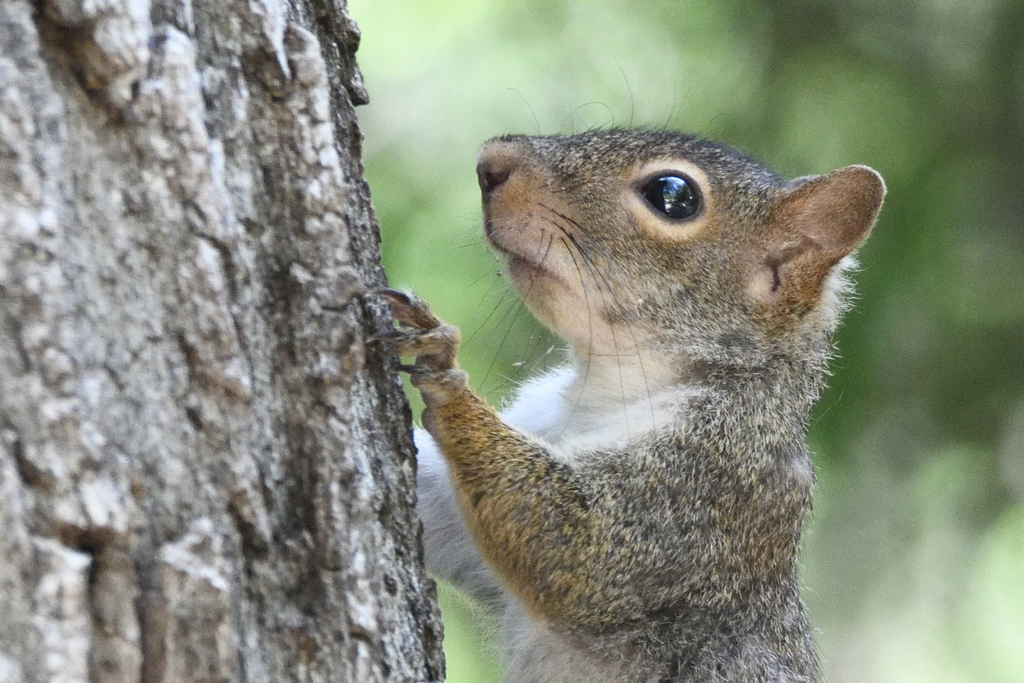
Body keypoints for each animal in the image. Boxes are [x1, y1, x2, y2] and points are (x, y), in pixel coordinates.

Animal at [376, 129, 885, 682]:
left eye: (673, 195)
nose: (491, 161)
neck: (606, 389)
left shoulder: (710, 486)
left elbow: (581, 549)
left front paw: (446, 371)